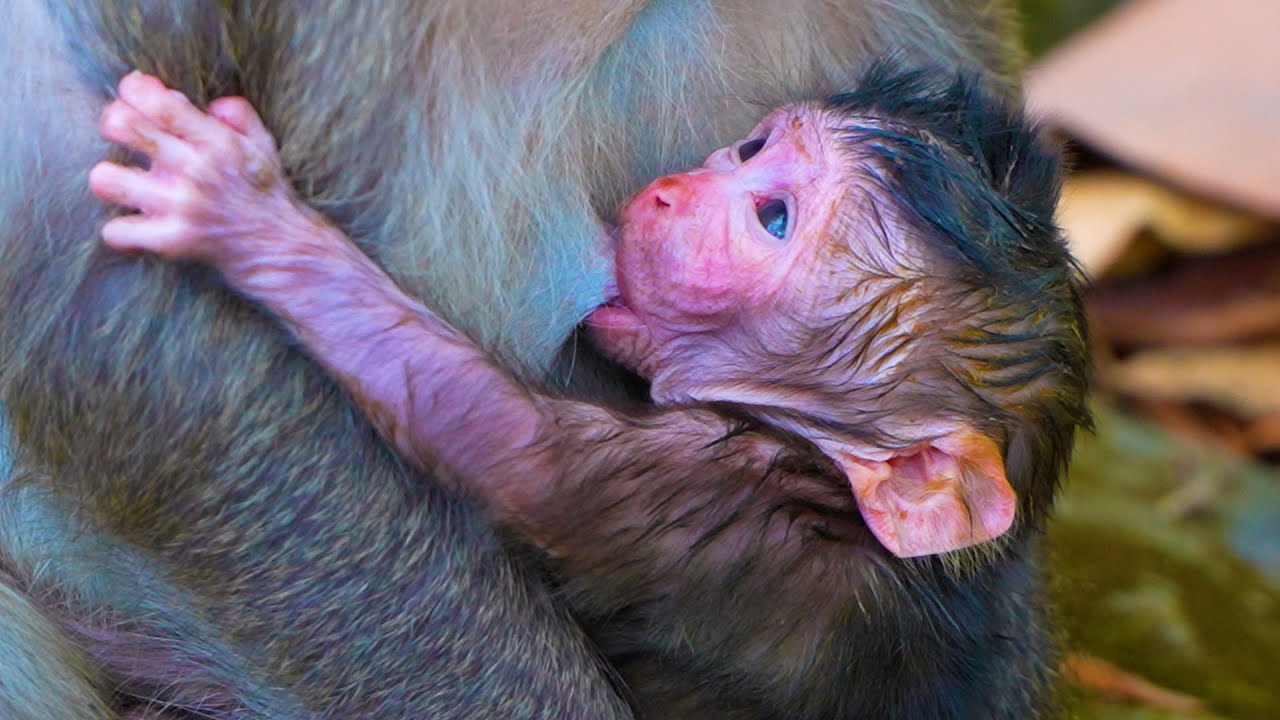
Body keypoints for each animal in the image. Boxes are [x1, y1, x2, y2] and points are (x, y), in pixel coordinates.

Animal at [0, 2, 1040, 718]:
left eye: (773, 218)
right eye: (749, 150)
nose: (667, 195)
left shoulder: (687, 485)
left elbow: (499, 442)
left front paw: (240, 213)